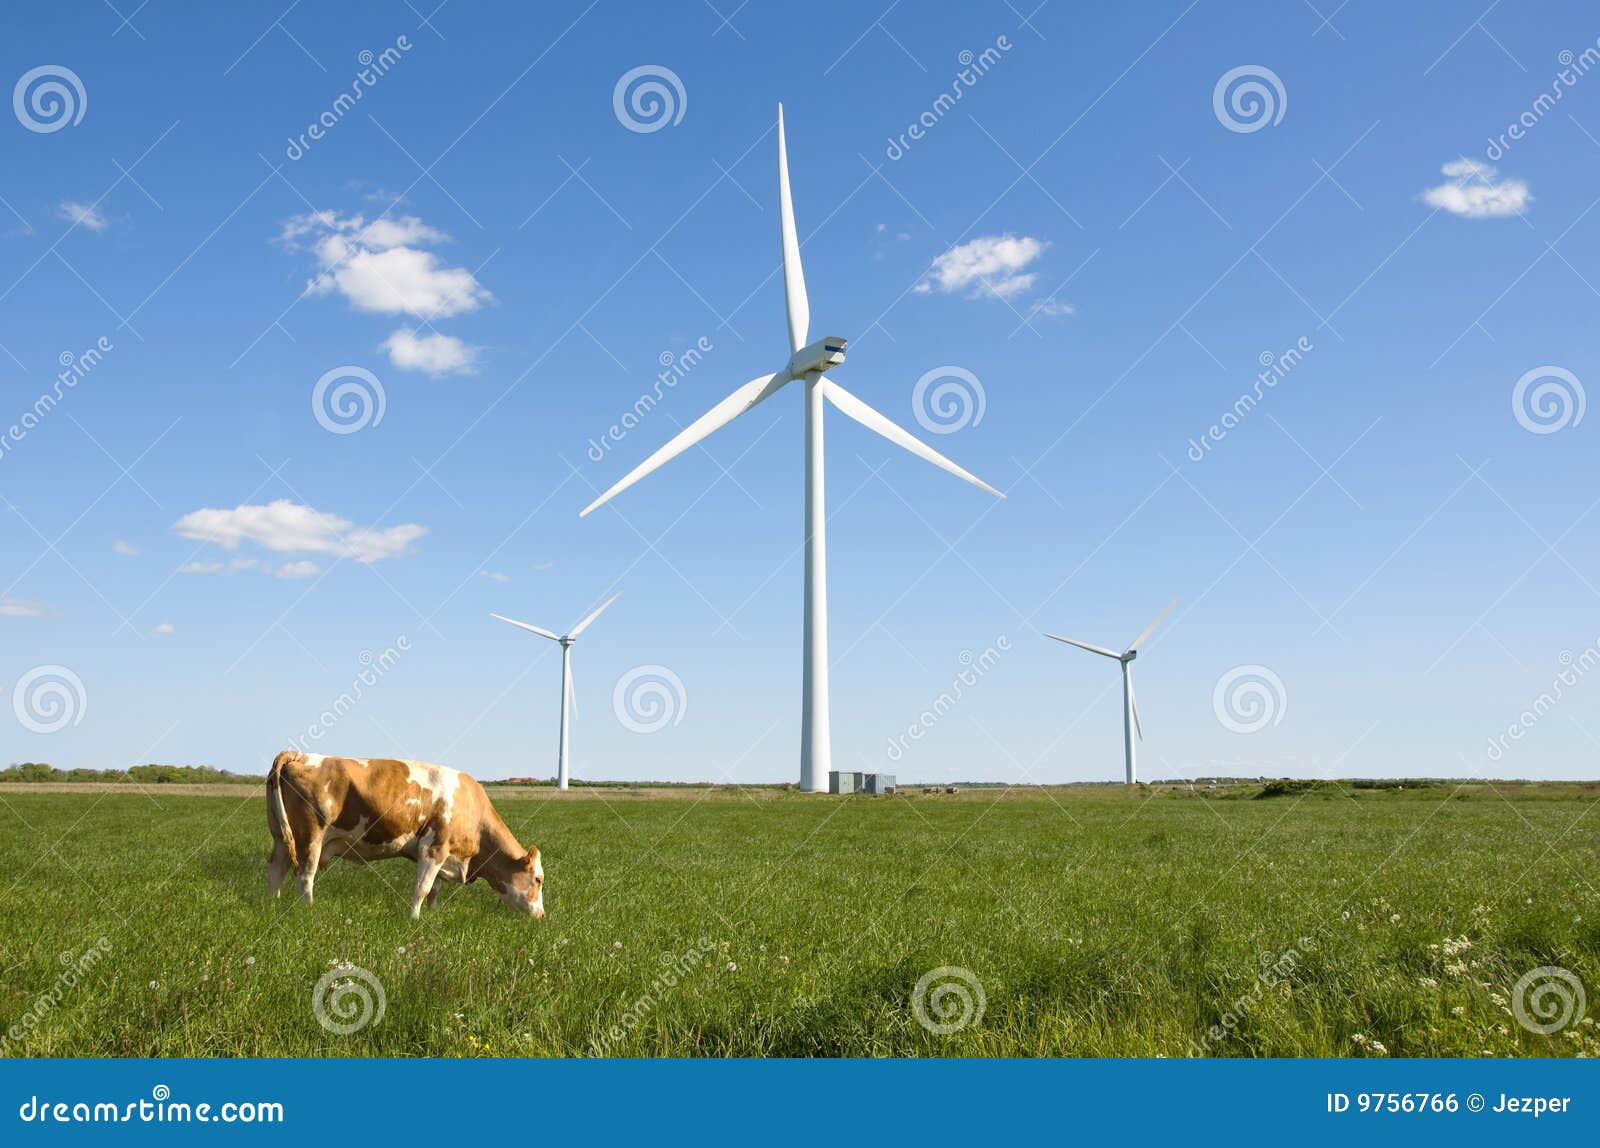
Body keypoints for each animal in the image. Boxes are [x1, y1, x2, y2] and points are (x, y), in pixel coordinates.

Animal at [266, 751, 545, 919]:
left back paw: (273, 904)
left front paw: (433, 913)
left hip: (282, 837)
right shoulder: (434, 848)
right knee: (304, 876)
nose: (541, 915)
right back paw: (308, 910)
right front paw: (414, 918)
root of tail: (300, 754)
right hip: (310, 839)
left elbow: (435, 889)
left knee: (276, 869)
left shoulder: (445, 855)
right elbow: (423, 887)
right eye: (538, 880)